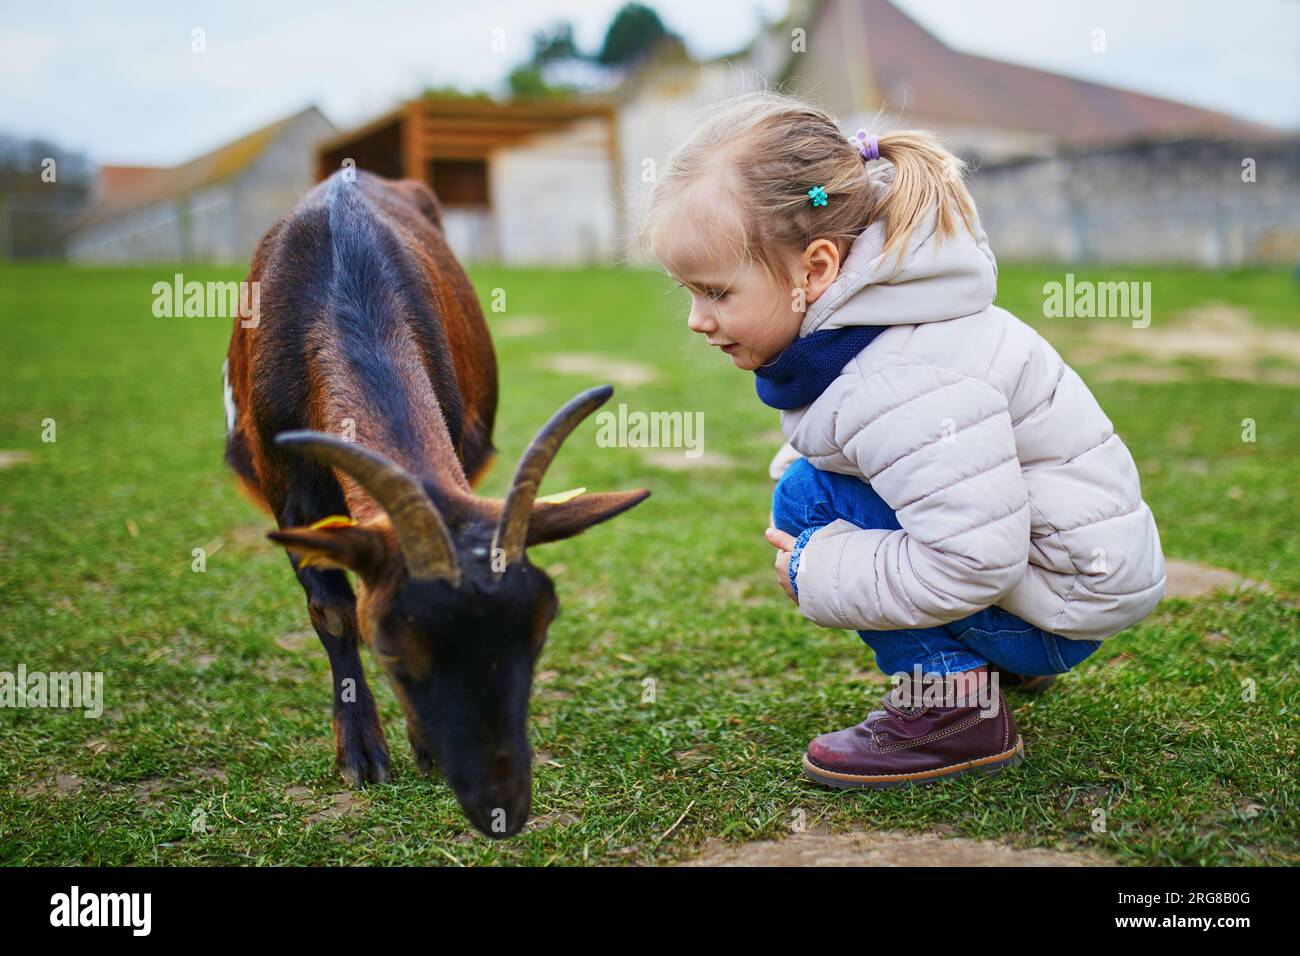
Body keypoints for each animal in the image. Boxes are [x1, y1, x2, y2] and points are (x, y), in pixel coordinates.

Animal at [223, 169, 648, 837]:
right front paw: (362, 754)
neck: (344, 288)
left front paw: (420, 748)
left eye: (541, 626)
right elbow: (331, 613)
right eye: (391, 646)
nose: (503, 807)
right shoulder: (289, 499)